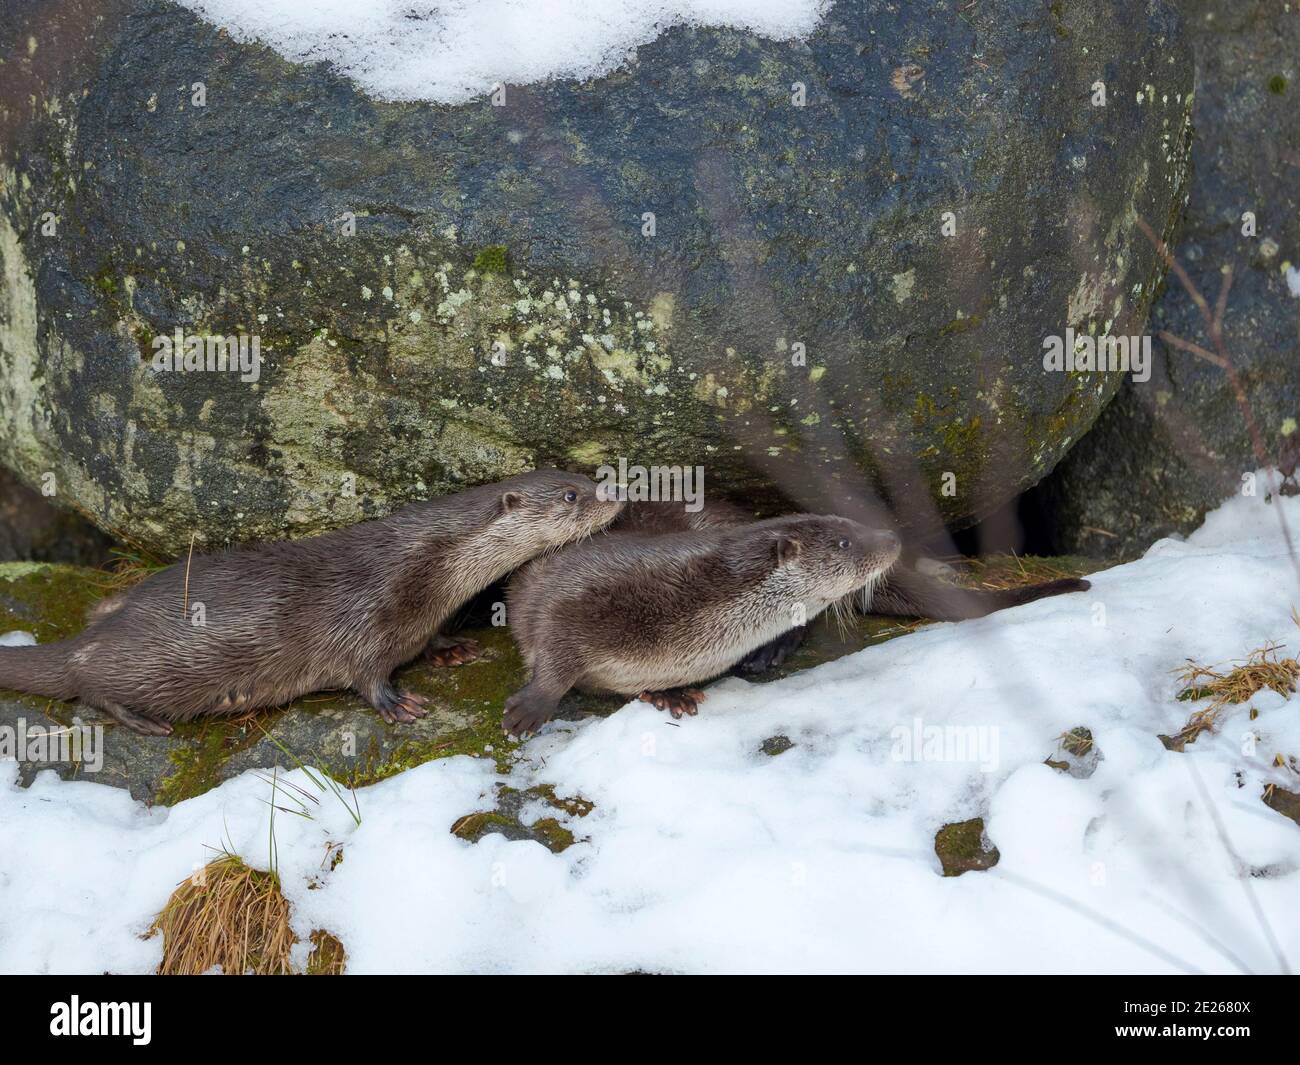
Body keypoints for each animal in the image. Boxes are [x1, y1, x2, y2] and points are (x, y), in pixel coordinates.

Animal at [0, 470, 621, 735]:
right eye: (572, 495)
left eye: (587, 475)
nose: (617, 492)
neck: (426, 568)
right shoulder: (365, 615)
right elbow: (364, 672)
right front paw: (397, 703)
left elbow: (429, 638)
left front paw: (449, 648)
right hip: (138, 665)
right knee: (89, 682)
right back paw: (144, 721)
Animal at [502, 514, 902, 737]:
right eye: (844, 541)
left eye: (854, 524)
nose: (893, 537)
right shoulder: (577, 601)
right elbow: (553, 646)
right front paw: (530, 708)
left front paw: (672, 693)